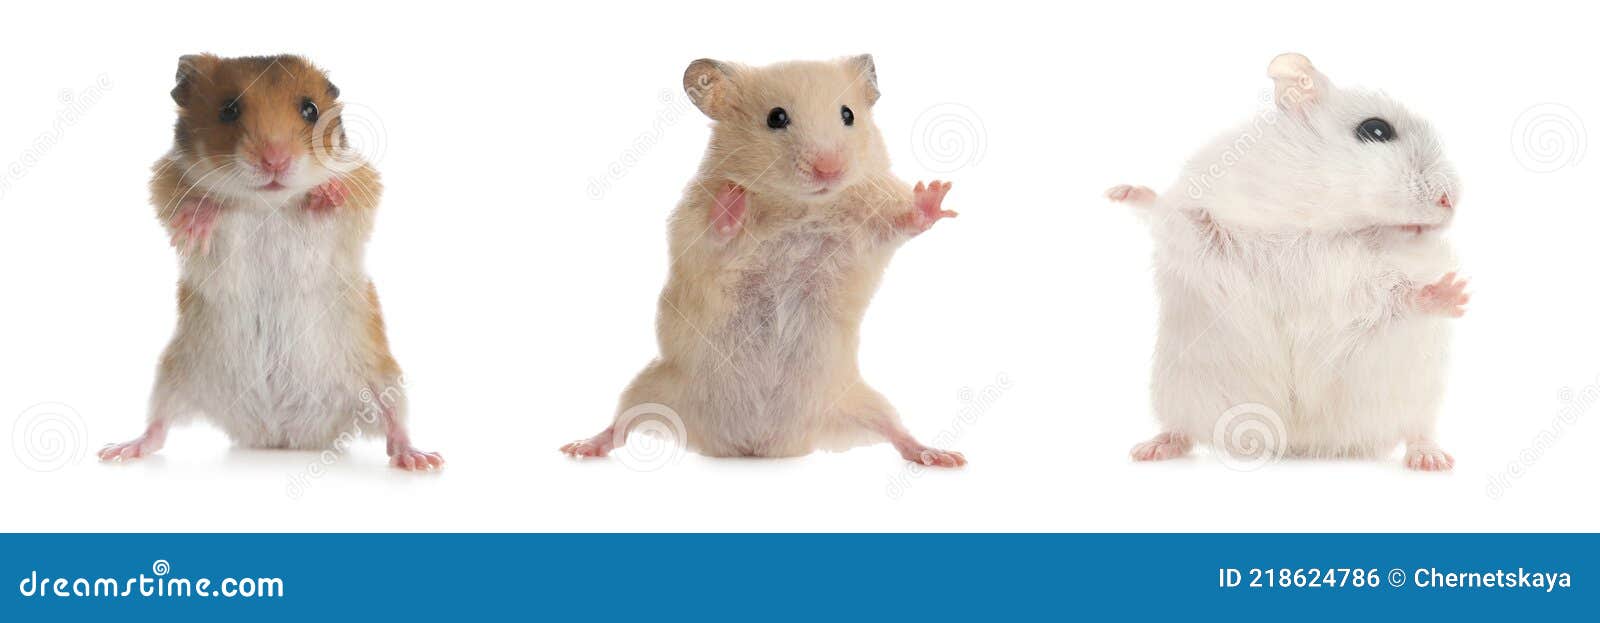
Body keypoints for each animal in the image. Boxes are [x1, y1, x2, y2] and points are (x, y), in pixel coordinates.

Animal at [99, 54, 441, 470]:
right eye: (228, 110)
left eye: (310, 110)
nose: (275, 161)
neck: (269, 204)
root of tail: (281, 435)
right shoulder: (166, 186)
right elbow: (205, 205)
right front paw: (195, 224)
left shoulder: (362, 192)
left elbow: (340, 200)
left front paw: (327, 192)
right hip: (173, 373)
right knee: (158, 427)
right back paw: (119, 451)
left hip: (384, 377)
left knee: (395, 428)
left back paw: (421, 460)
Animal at [561, 55, 966, 467]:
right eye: (776, 117)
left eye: (848, 114)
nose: (829, 168)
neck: (802, 207)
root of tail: (759, 445)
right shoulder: (696, 234)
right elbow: (717, 231)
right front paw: (733, 200)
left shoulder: (869, 226)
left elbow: (903, 222)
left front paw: (933, 193)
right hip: (654, 386)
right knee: (622, 425)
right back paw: (580, 447)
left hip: (857, 397)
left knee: (895, 431)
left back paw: (942, 456)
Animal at [1108, 53, 1468, 471]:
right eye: (1376, 129)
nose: (1451, 200)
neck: (1321, 226)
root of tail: (1299, 443)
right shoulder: (1219, 246)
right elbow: (1182, 221)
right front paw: (1121, 192)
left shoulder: (1368, 285)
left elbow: (1401, 296)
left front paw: (1455, 292)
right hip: (1181, 390)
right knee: (1182, 429)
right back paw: (1150, 450)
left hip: (1415, 396)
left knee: (1416, 429)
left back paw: (1432, 460)